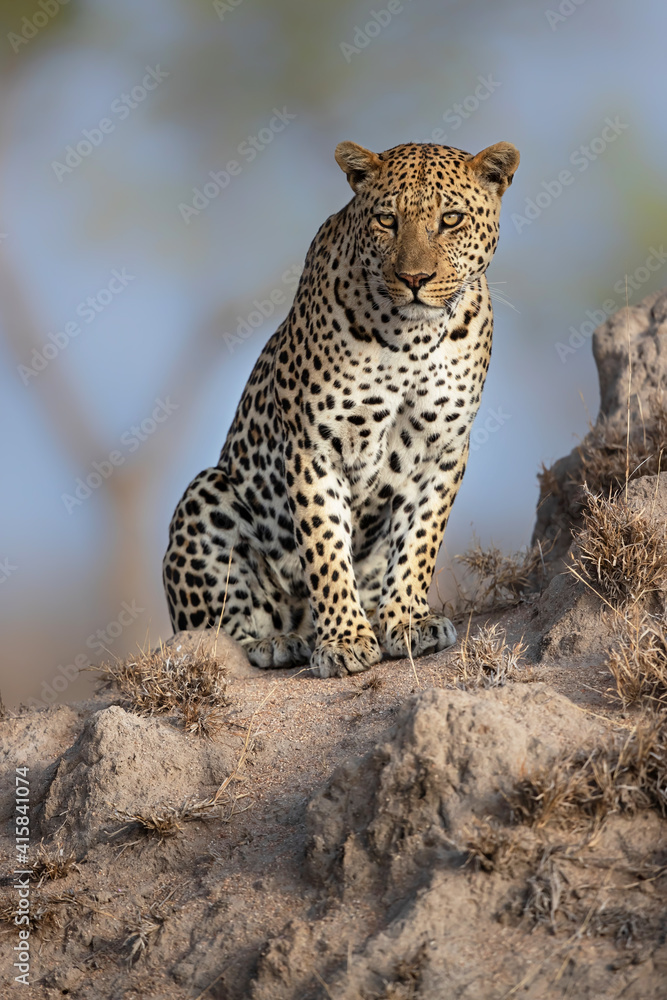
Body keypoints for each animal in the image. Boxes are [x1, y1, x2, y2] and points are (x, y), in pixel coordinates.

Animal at [163, 138, 520, 677]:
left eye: (451, 219)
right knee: (213, 631)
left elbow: (420, 539)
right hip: (208, 493)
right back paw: (278, 641)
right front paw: (345, 640)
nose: (415, 278)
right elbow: (325, 547)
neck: (412, 338)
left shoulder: (443, 448)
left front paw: (408, 621)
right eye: (387, 220)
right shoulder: (314, 447)